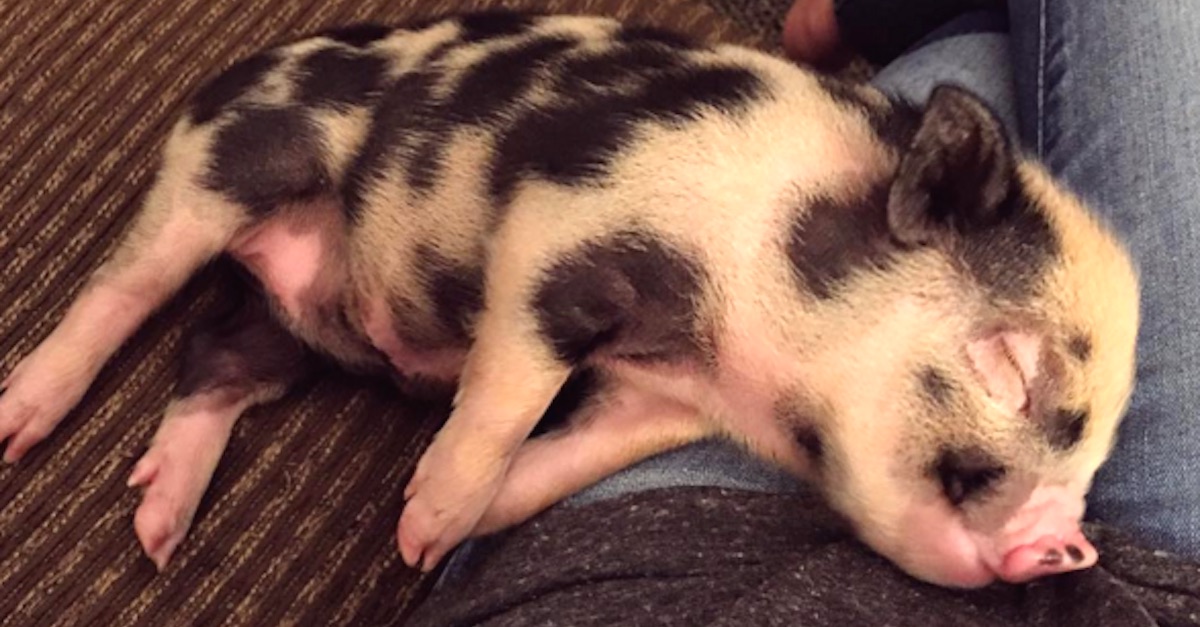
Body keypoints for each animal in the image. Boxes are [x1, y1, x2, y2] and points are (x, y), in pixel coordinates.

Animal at [0, 11, 1139, 589]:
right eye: (1012, 367)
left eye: (1093, 458)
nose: (1063, 545)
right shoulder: (561, 242)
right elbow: (509, 396)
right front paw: (424, 527)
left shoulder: (660, 402)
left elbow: (559, 467)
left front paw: (438, 539)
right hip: (225, 165)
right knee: (122, 289)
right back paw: (22, 424)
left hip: (295, 334)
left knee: (214, 357)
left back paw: (159, 532)